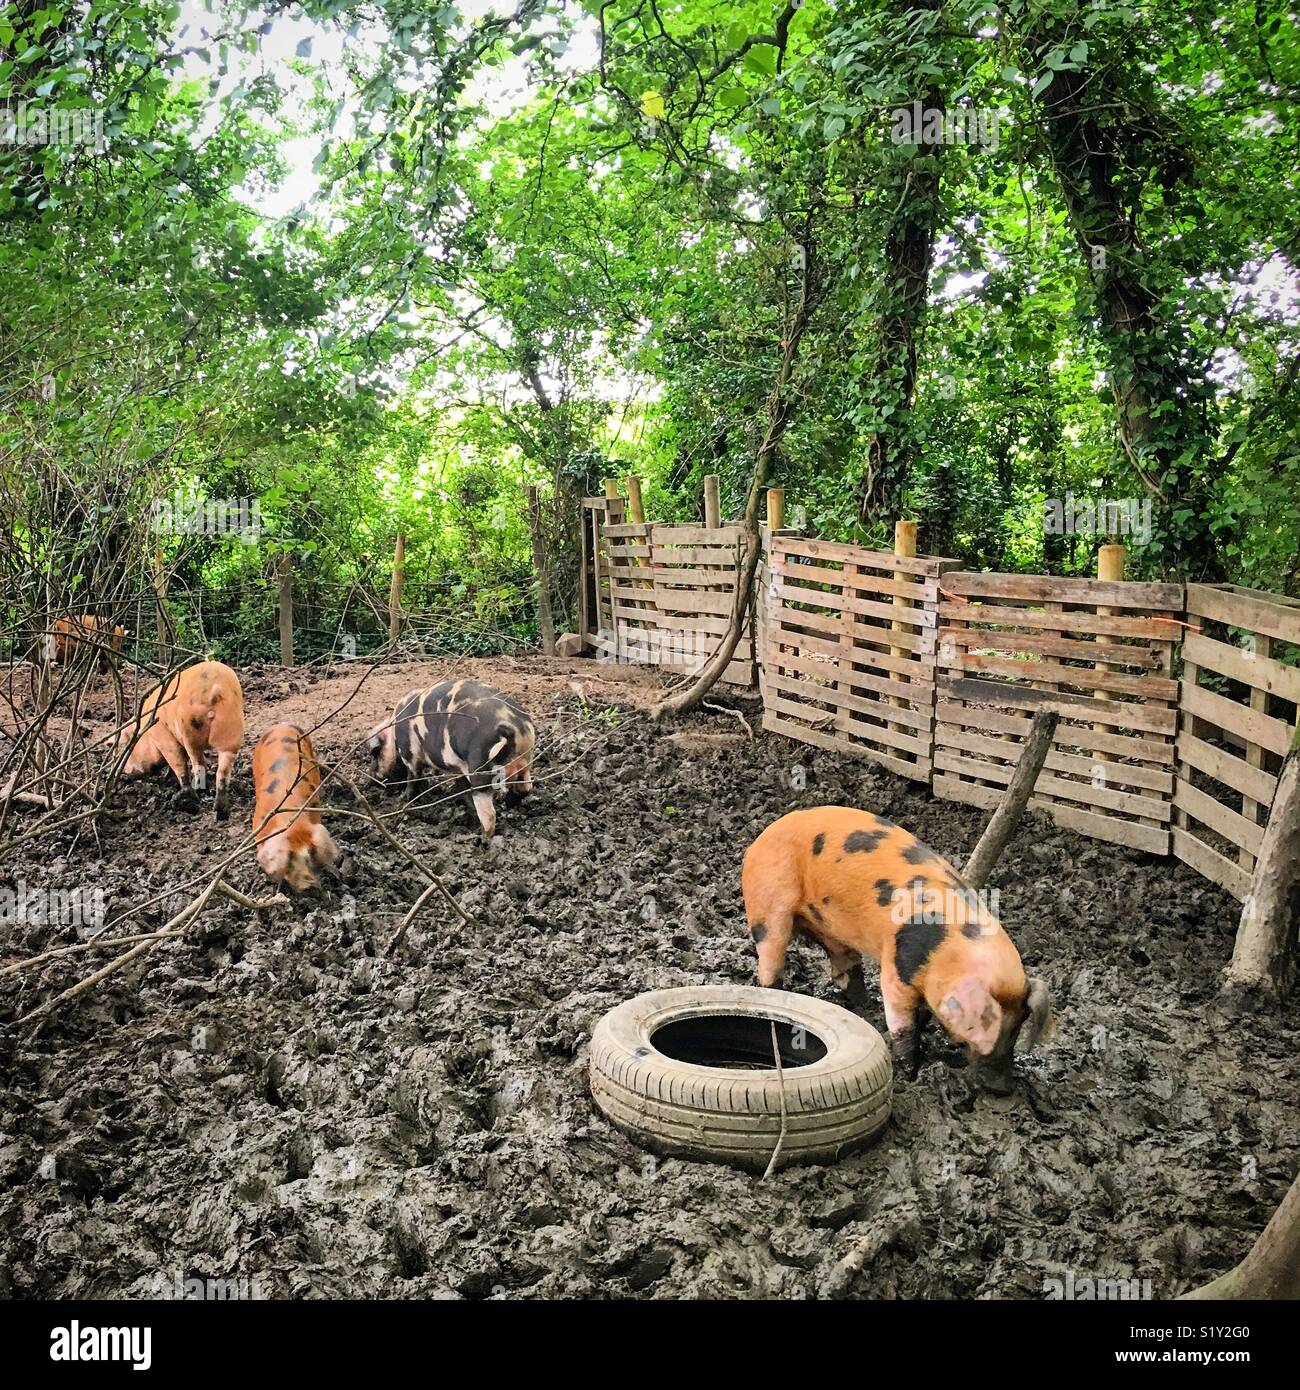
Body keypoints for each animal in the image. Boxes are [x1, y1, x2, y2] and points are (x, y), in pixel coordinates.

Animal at [118, 660, 244, 820]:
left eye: (129, 748)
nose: (126, 775)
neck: (147, 732)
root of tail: (215, 691)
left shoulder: (163, 735)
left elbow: (178, 761)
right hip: (232, 733)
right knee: (222, 773)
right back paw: (221, 813)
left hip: (190, 730)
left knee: (198, 764)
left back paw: (195, 794)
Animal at [366, 678, 535, 837]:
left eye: (375, 754)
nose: (370, 779)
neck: (394, 732)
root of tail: (513, 729)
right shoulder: (458, 768)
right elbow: (462, 788)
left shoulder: (409, 753)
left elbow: (412, 777)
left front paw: (404, 799)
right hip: (525, 761)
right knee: (525, 788)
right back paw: (509, 804)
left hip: (481, 770)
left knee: (489, 814)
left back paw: (482, 836)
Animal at [741, 806, 1053, 1093]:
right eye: (992, 1033)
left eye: (1018, 1029)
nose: (1003, 1089)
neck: (945, 952)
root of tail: (762, 837)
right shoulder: (896, 966)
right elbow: (902, 1021)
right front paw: (910, 1073)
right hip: (767, 905)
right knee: (770, 959)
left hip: (829, 926)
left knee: (843, 966)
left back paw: (863, 1007)